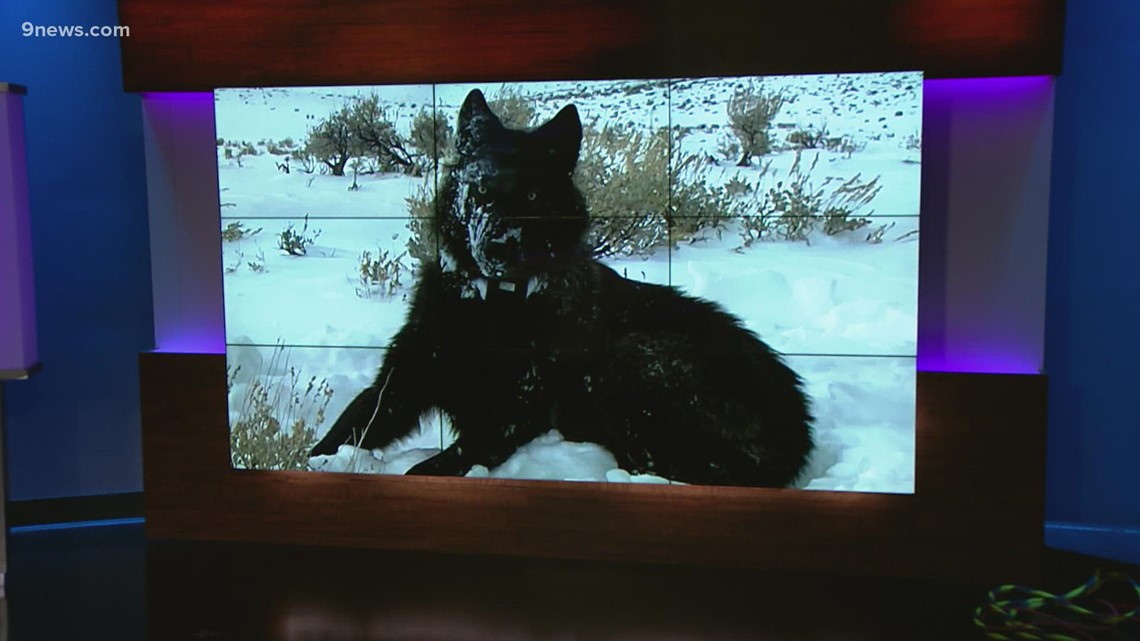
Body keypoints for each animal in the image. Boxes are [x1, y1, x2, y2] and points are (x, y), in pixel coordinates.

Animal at [309, 89, 813, 487]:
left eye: (533, 196)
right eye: (480, 189)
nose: (500, 245)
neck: (493, 308)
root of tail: (797, 425)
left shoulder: (513, 414)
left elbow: (435, 464)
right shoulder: (401, 383)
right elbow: (339, 434)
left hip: (631, 361)